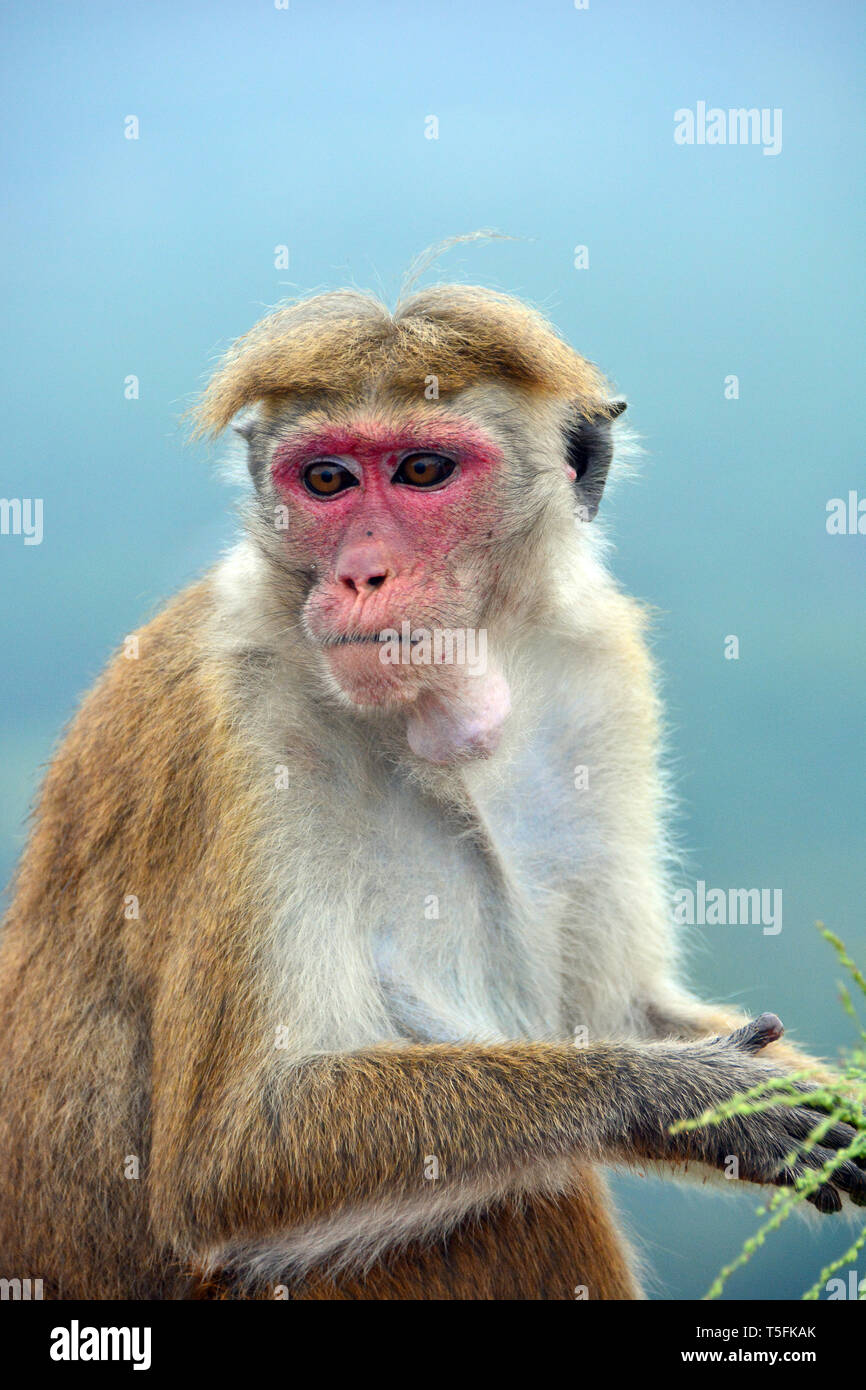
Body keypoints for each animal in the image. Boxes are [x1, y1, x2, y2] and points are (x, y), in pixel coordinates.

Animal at [0, 284, 862, 1302]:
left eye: (422, 470)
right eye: (326, 481)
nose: (360, 573)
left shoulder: (597, 672)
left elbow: (608, 1007)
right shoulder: (238, 729)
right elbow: (232, 1153)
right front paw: (685, 1095)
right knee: (510, 1198)